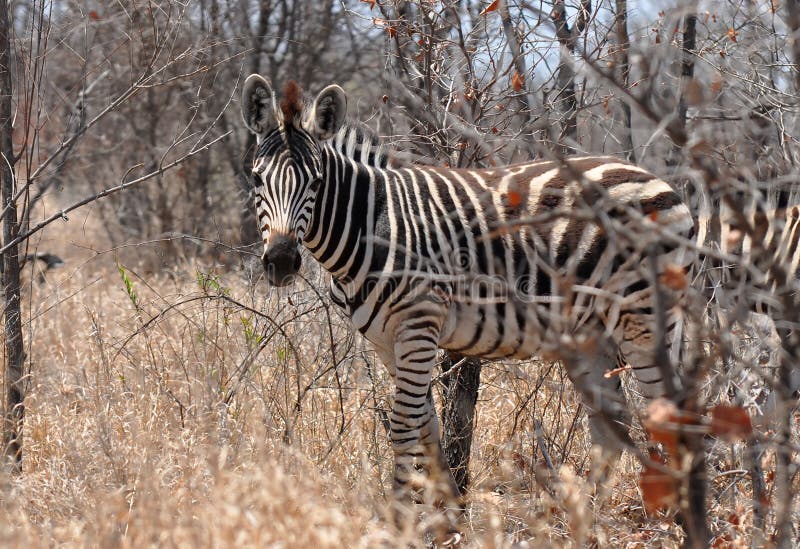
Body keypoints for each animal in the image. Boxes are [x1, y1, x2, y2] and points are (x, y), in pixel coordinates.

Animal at [240, 74, 697, 505]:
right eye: (257, 179)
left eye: (316, 182)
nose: (281, 261)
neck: (372, 223)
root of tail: (660, 181)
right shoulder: (385, 340)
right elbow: (427, 427)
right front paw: (449, 514)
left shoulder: (419, 323)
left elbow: (404, 426)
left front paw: (400, 518)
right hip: (591, 331)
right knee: (610, 427)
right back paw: (588, 520)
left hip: (644, 317)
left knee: (669, 414)